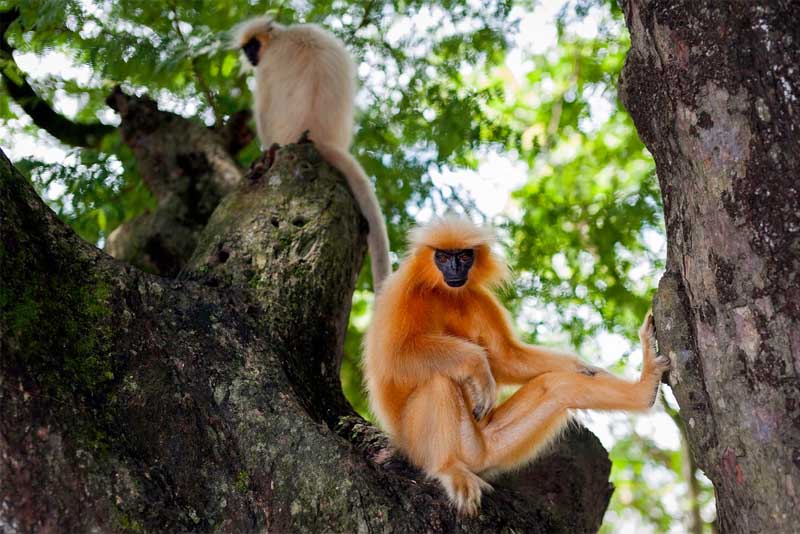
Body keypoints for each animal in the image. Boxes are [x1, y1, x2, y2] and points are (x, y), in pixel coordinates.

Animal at [363, 217, 671, 515]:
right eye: (443, 256)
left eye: (464, 256)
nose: (454, 268)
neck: (441, 292)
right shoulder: (400, 292)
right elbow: (394, 358)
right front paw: (477, 365)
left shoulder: (477, 297)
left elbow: (506, 359)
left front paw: (582, 365)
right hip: (420, 444)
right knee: (438, 381)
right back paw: (447, 467)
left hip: (488, 446)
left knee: (556, 387)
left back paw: (644, 390)